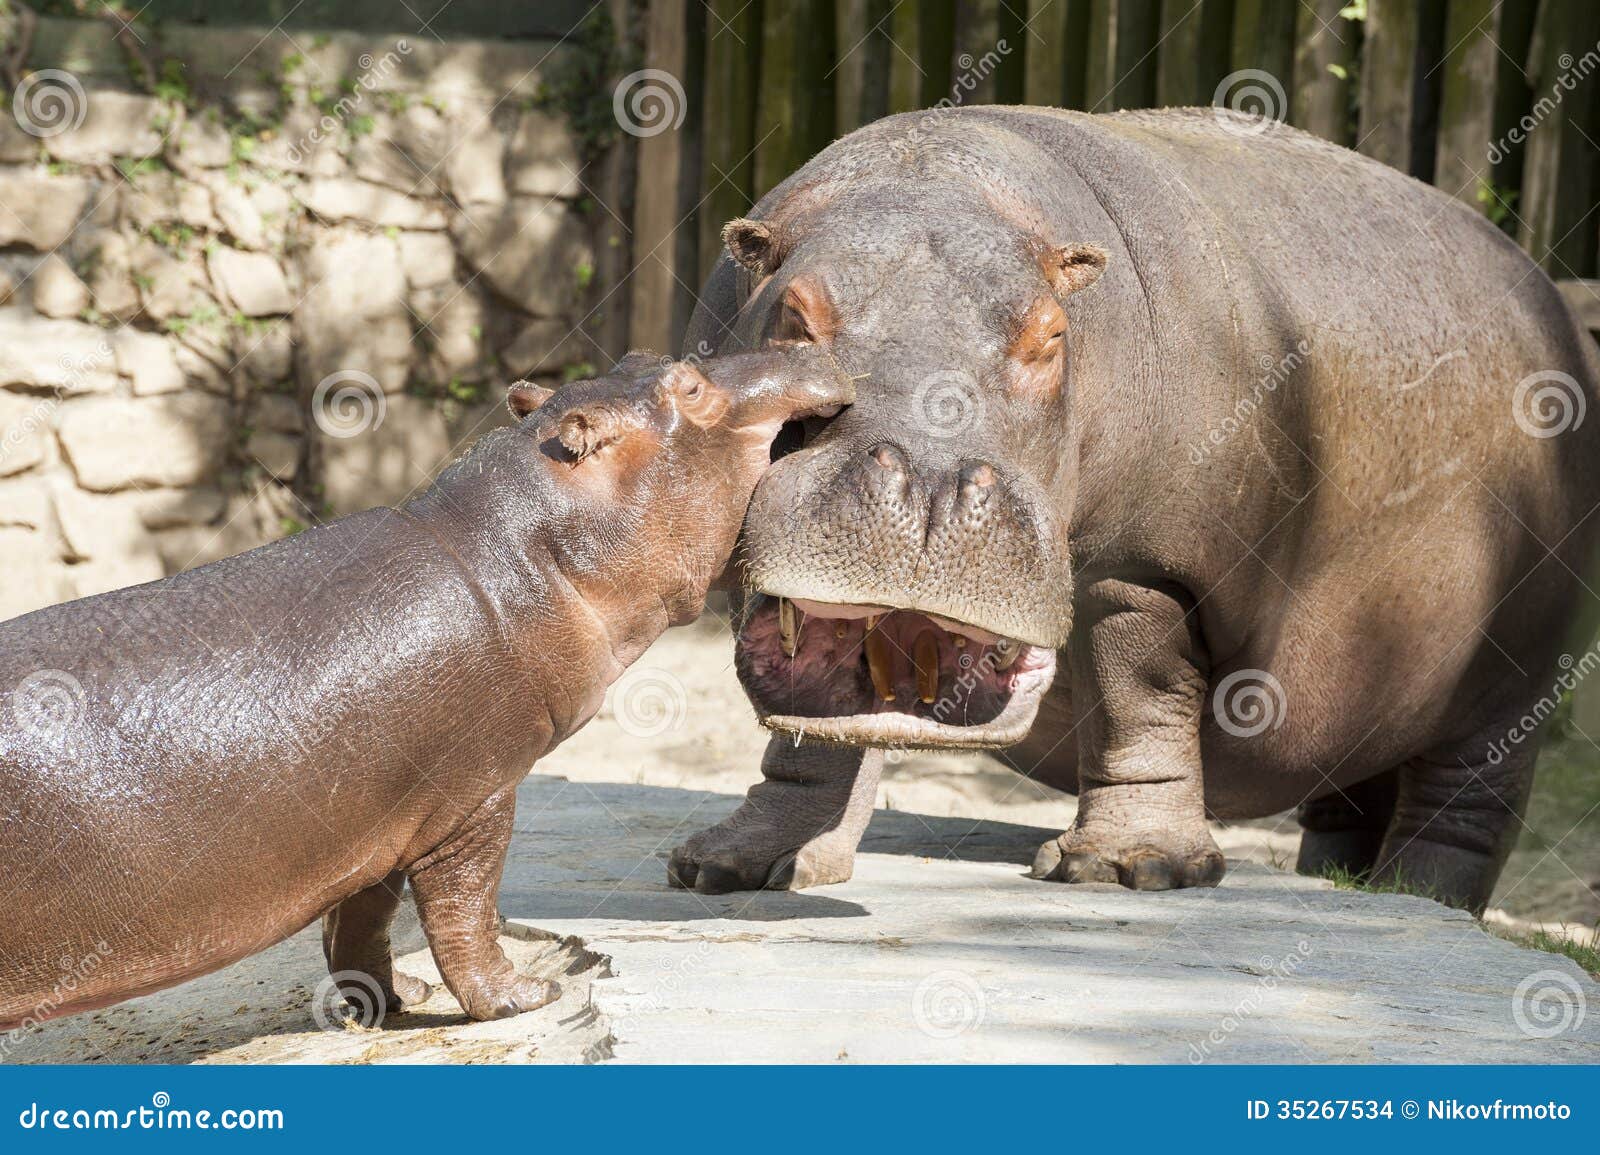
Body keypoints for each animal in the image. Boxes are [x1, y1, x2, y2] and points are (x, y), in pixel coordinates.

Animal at [0, 349, 852, 1030]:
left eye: (648, 358)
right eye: (691, 386)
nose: (804, 343)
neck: (516, 550)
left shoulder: (378, 822)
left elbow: (360, 922)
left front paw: (387, 1002)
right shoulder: (471, 799)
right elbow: (463, 910)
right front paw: (519, 1000)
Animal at [666, 106, 1600, 913]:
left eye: (1050, 335)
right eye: (794, 316)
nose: (927, 485)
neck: (936, 180)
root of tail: (1551, 295)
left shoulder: (1145, 568)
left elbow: (1136, 696)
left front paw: (1132, 868)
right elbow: (811, 730)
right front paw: (732, 865)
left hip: (1511, 679)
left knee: (1465, 808)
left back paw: (1421, 897)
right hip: (1375, 669)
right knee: (1350, 794)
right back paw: (1343, 883)